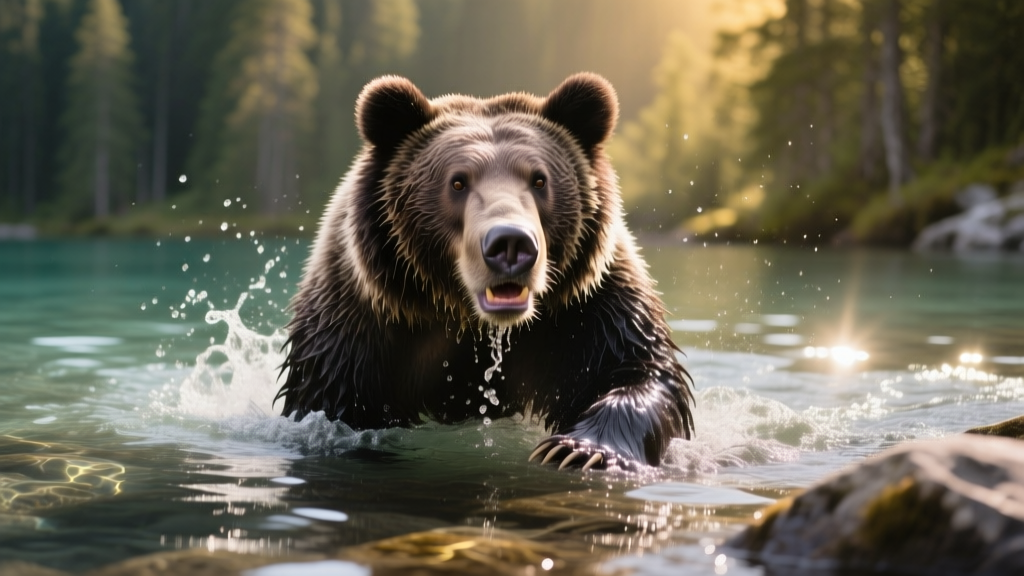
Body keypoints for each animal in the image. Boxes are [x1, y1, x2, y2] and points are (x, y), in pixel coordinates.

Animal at [276, 73, 694, 471]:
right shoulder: (363, 324)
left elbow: (636, 371)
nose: (511, 244)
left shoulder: (587, 309)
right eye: (458, 181)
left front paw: (578, 451)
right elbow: (339, 406)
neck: (471, 319)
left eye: (539, 179)